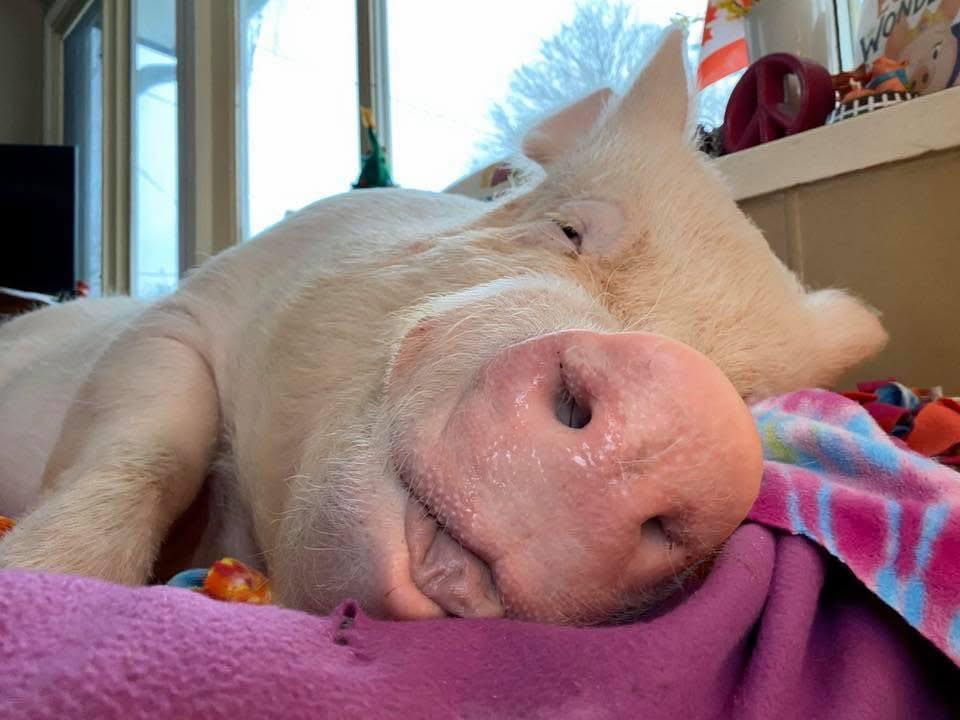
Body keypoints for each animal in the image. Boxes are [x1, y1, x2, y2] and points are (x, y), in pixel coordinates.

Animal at [0, 30, 887, 624]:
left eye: (751, 396)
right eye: (569, 229)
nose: (678, 422)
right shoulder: (193, 308)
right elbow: (150, 448)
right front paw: (40, 579)